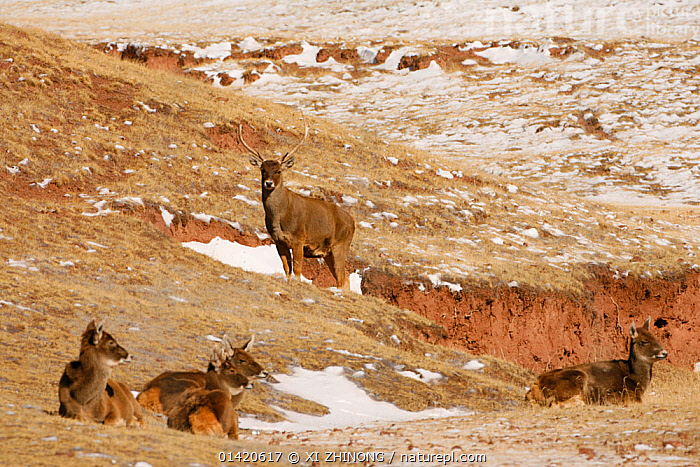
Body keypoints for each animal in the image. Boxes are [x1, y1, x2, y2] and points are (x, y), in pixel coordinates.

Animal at [238, 113, 356, 289]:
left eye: (278, 170)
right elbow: (287, 268)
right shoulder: (278, 241)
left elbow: (298, 270)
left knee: (342, 278)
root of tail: (353, 222)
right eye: (263, 170)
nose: (268, 183)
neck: (280, 217)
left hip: (341, 245)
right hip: (328, 252)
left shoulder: (299, 239)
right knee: (345, 277)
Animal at [525, 317, 668, 407]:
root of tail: (536, 384)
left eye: (655, 338)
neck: (635, 379)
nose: (664, 352)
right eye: (644, 341)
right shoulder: (619, 393)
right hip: (575, 379)